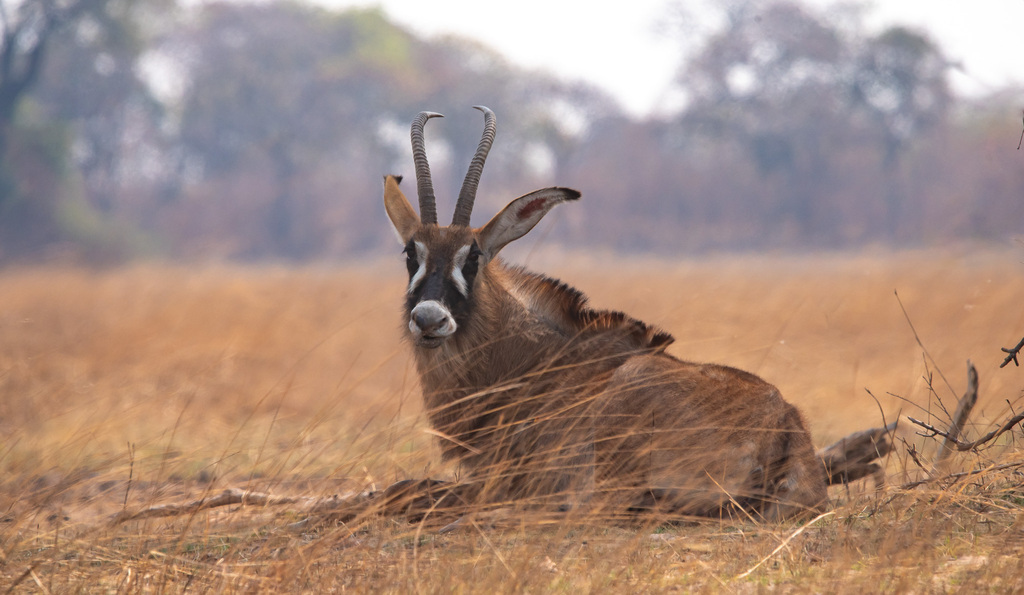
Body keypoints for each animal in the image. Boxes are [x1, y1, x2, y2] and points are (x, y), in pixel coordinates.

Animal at [382, 106, 829, 520]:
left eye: (473, 257)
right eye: (411, 252)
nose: (430, 319)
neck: (529, 359)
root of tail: (784, 428)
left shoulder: (505, 478)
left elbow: (407, 489)